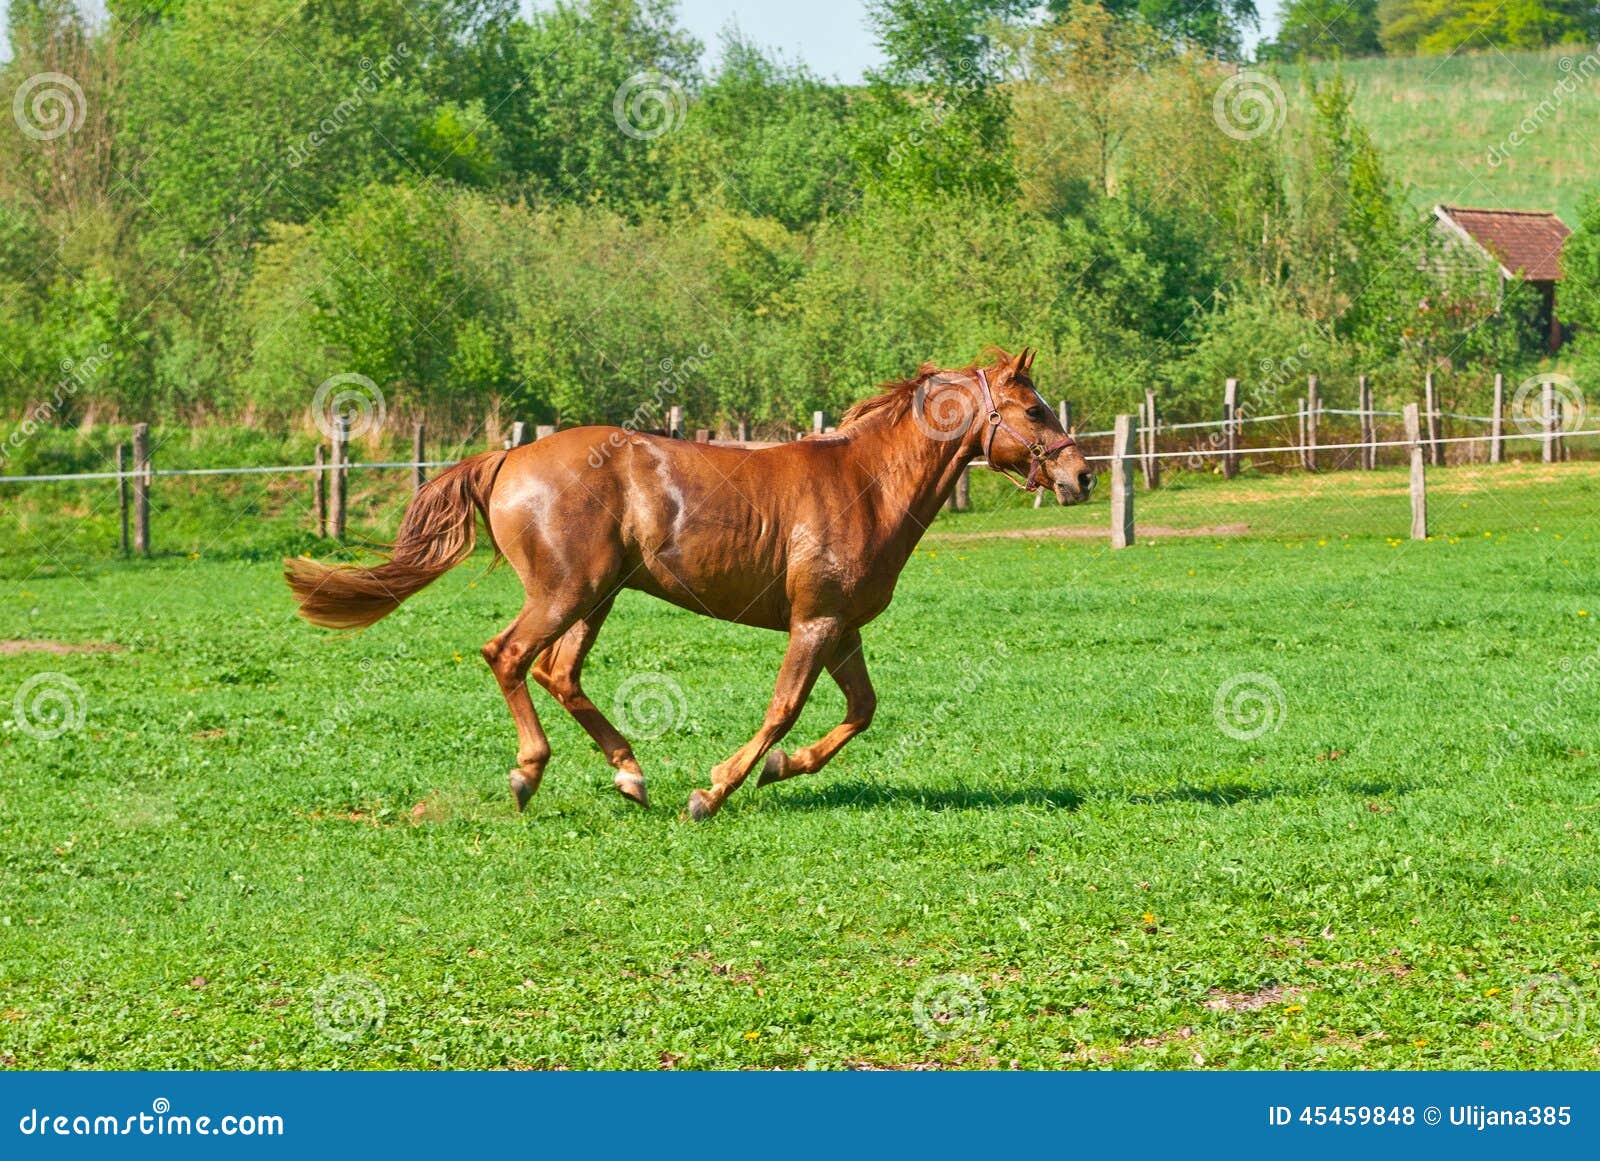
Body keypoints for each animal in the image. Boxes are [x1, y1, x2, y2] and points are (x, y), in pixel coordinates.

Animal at [284, 348, 1095, 821]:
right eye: (1034, 409)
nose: (1081, 476)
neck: (866, 483)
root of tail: (508, 459)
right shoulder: (814, 623)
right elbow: (783, 709)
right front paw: (715, 790)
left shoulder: (842, 629)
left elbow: (860, 712)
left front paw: (781, 770)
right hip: (566, 593)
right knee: (509, 656)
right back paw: (529, 775)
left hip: (596, 598)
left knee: (557, 672)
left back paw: (630, 775)